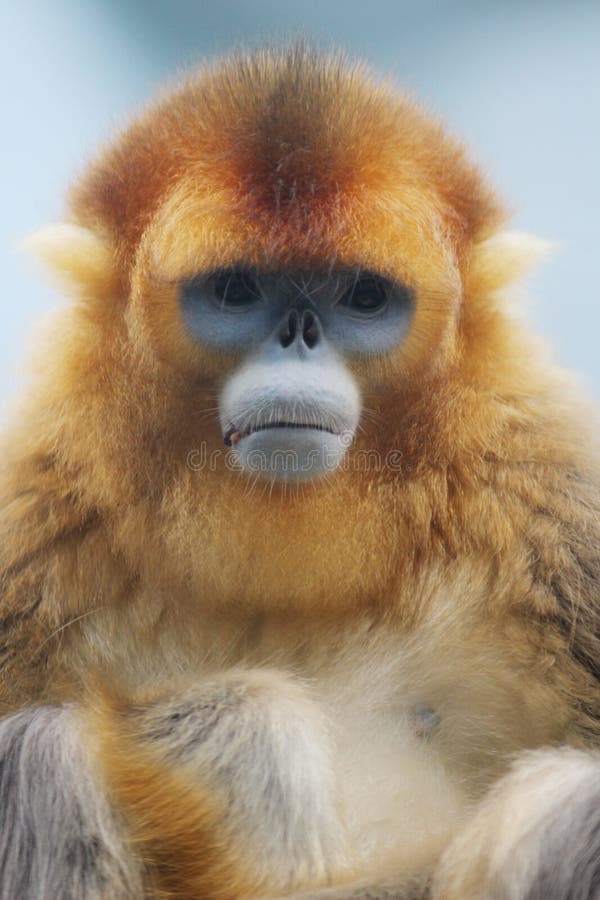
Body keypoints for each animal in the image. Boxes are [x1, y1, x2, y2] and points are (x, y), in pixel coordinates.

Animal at [1, 43, 599, 899]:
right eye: (236, 289)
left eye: (364, 297)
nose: (299, 336)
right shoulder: (36, 506)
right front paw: (247, 744)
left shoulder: (548, 504)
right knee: (41, 753)